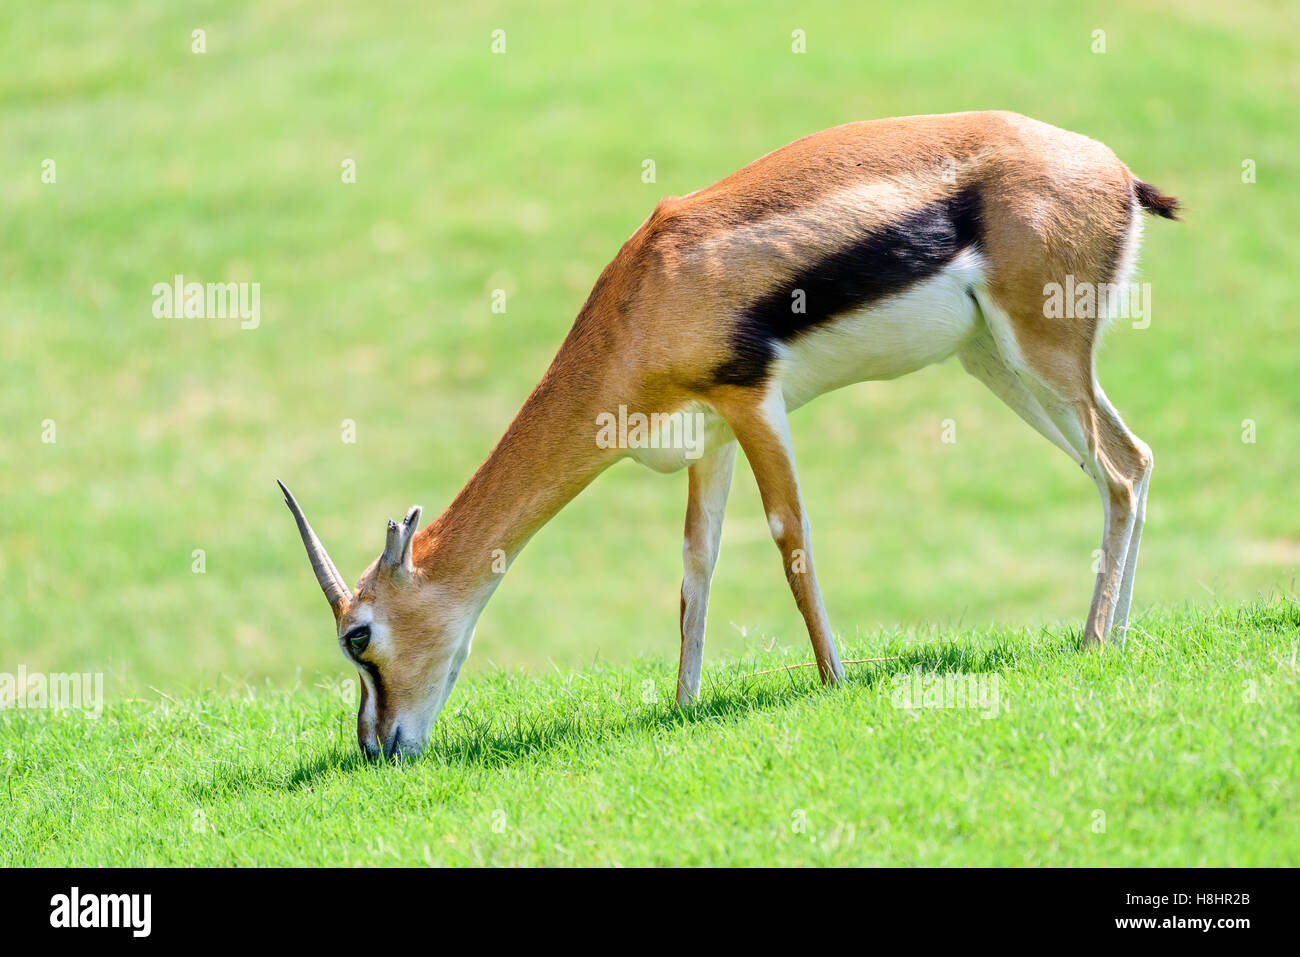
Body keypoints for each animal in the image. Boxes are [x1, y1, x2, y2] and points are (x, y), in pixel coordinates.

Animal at [280, 111, 1179, 759]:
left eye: (359, 636)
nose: (373, 745)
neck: (642, 296)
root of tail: (1113, 171)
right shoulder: (707, 440)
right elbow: (695, 563)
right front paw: (681, 704)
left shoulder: (754, 403)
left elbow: (788, 537)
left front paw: (833, 680)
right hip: (997, 363)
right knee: (1130, 463)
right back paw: (1119, 634)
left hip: (1041, 352)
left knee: (1118, 470)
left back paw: (1092, 640)